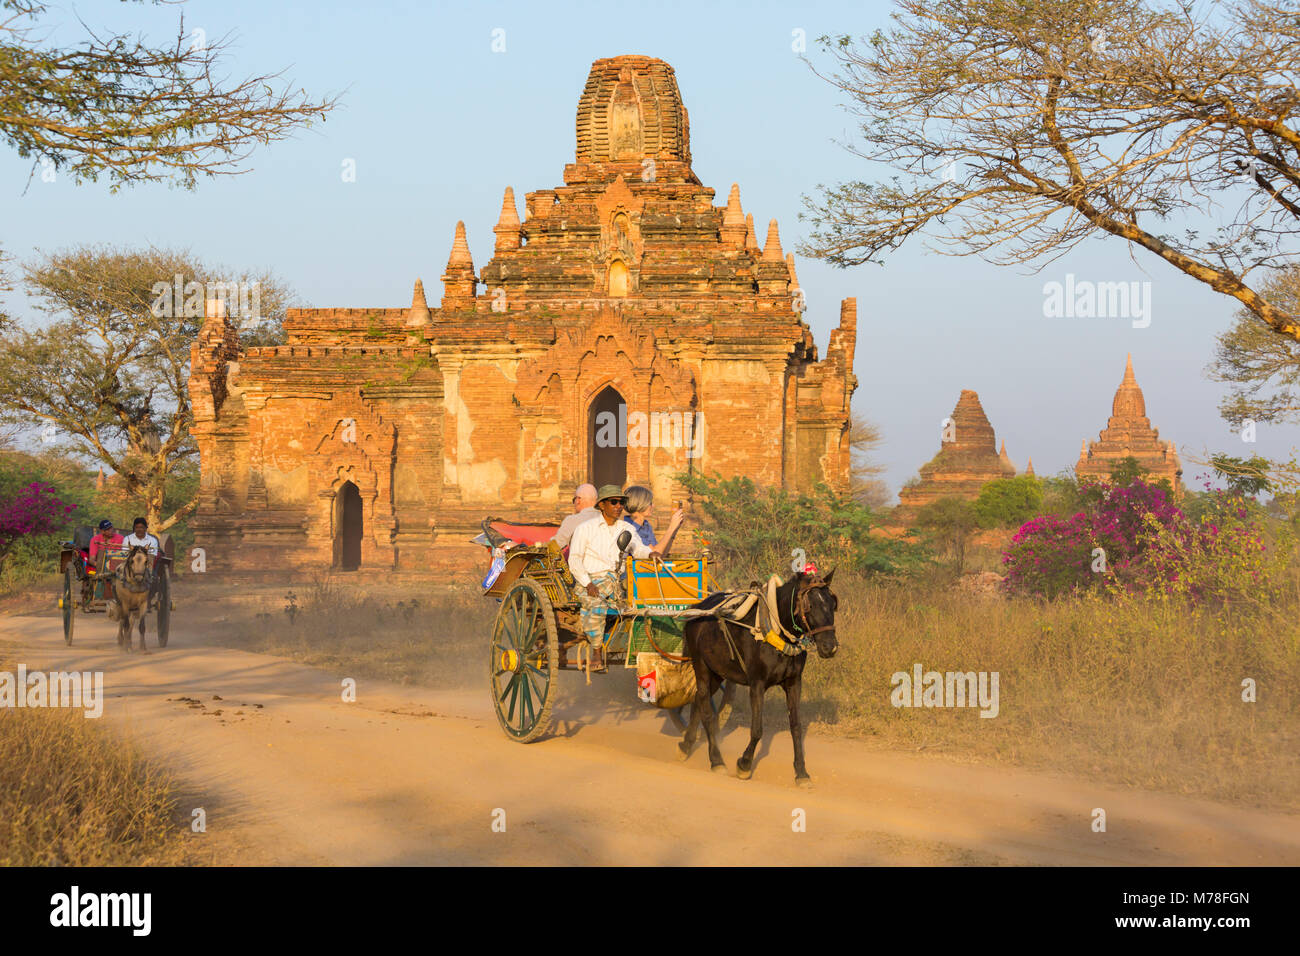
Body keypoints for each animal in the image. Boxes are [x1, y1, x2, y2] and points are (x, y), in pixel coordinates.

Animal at [678, 569, 838, 786]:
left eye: (832, 604)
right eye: (810, 605)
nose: (830, 647)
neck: (776, 630)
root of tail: (697, 608)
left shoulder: (794, 683)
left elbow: (796, 727)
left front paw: (801, 772)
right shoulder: (757, 684)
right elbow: (757, 729)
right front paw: (744, 765)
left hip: (717, 672)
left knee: (698, 700)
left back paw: (686, 745)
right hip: (701, 666)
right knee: (706, 710)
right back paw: (716, 760)